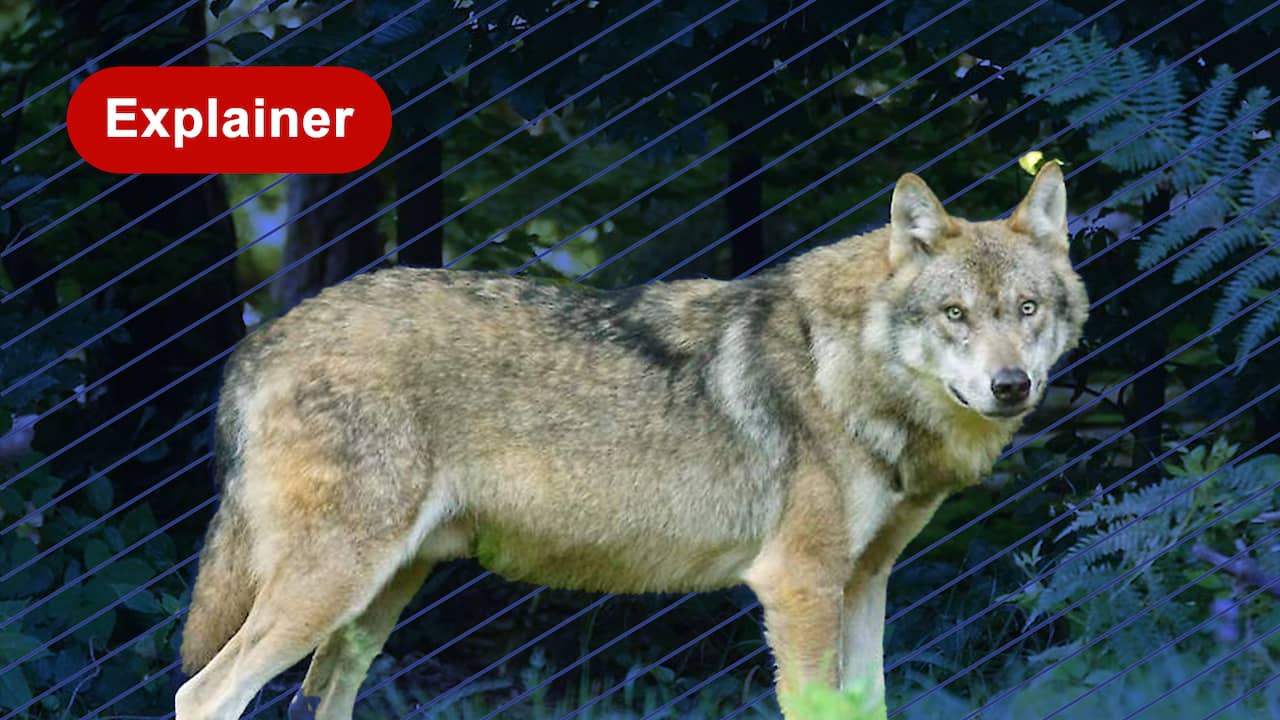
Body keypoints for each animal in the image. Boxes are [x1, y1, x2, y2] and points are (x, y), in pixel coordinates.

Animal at [175, 163, 1087, 719]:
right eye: (955, 315)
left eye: (1027, 310)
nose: (1012, 386)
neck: (844, 370)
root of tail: (262, 339)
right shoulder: (798, 587)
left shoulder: (864, 583)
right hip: (331, 589)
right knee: (202, 694)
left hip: (376, 602)